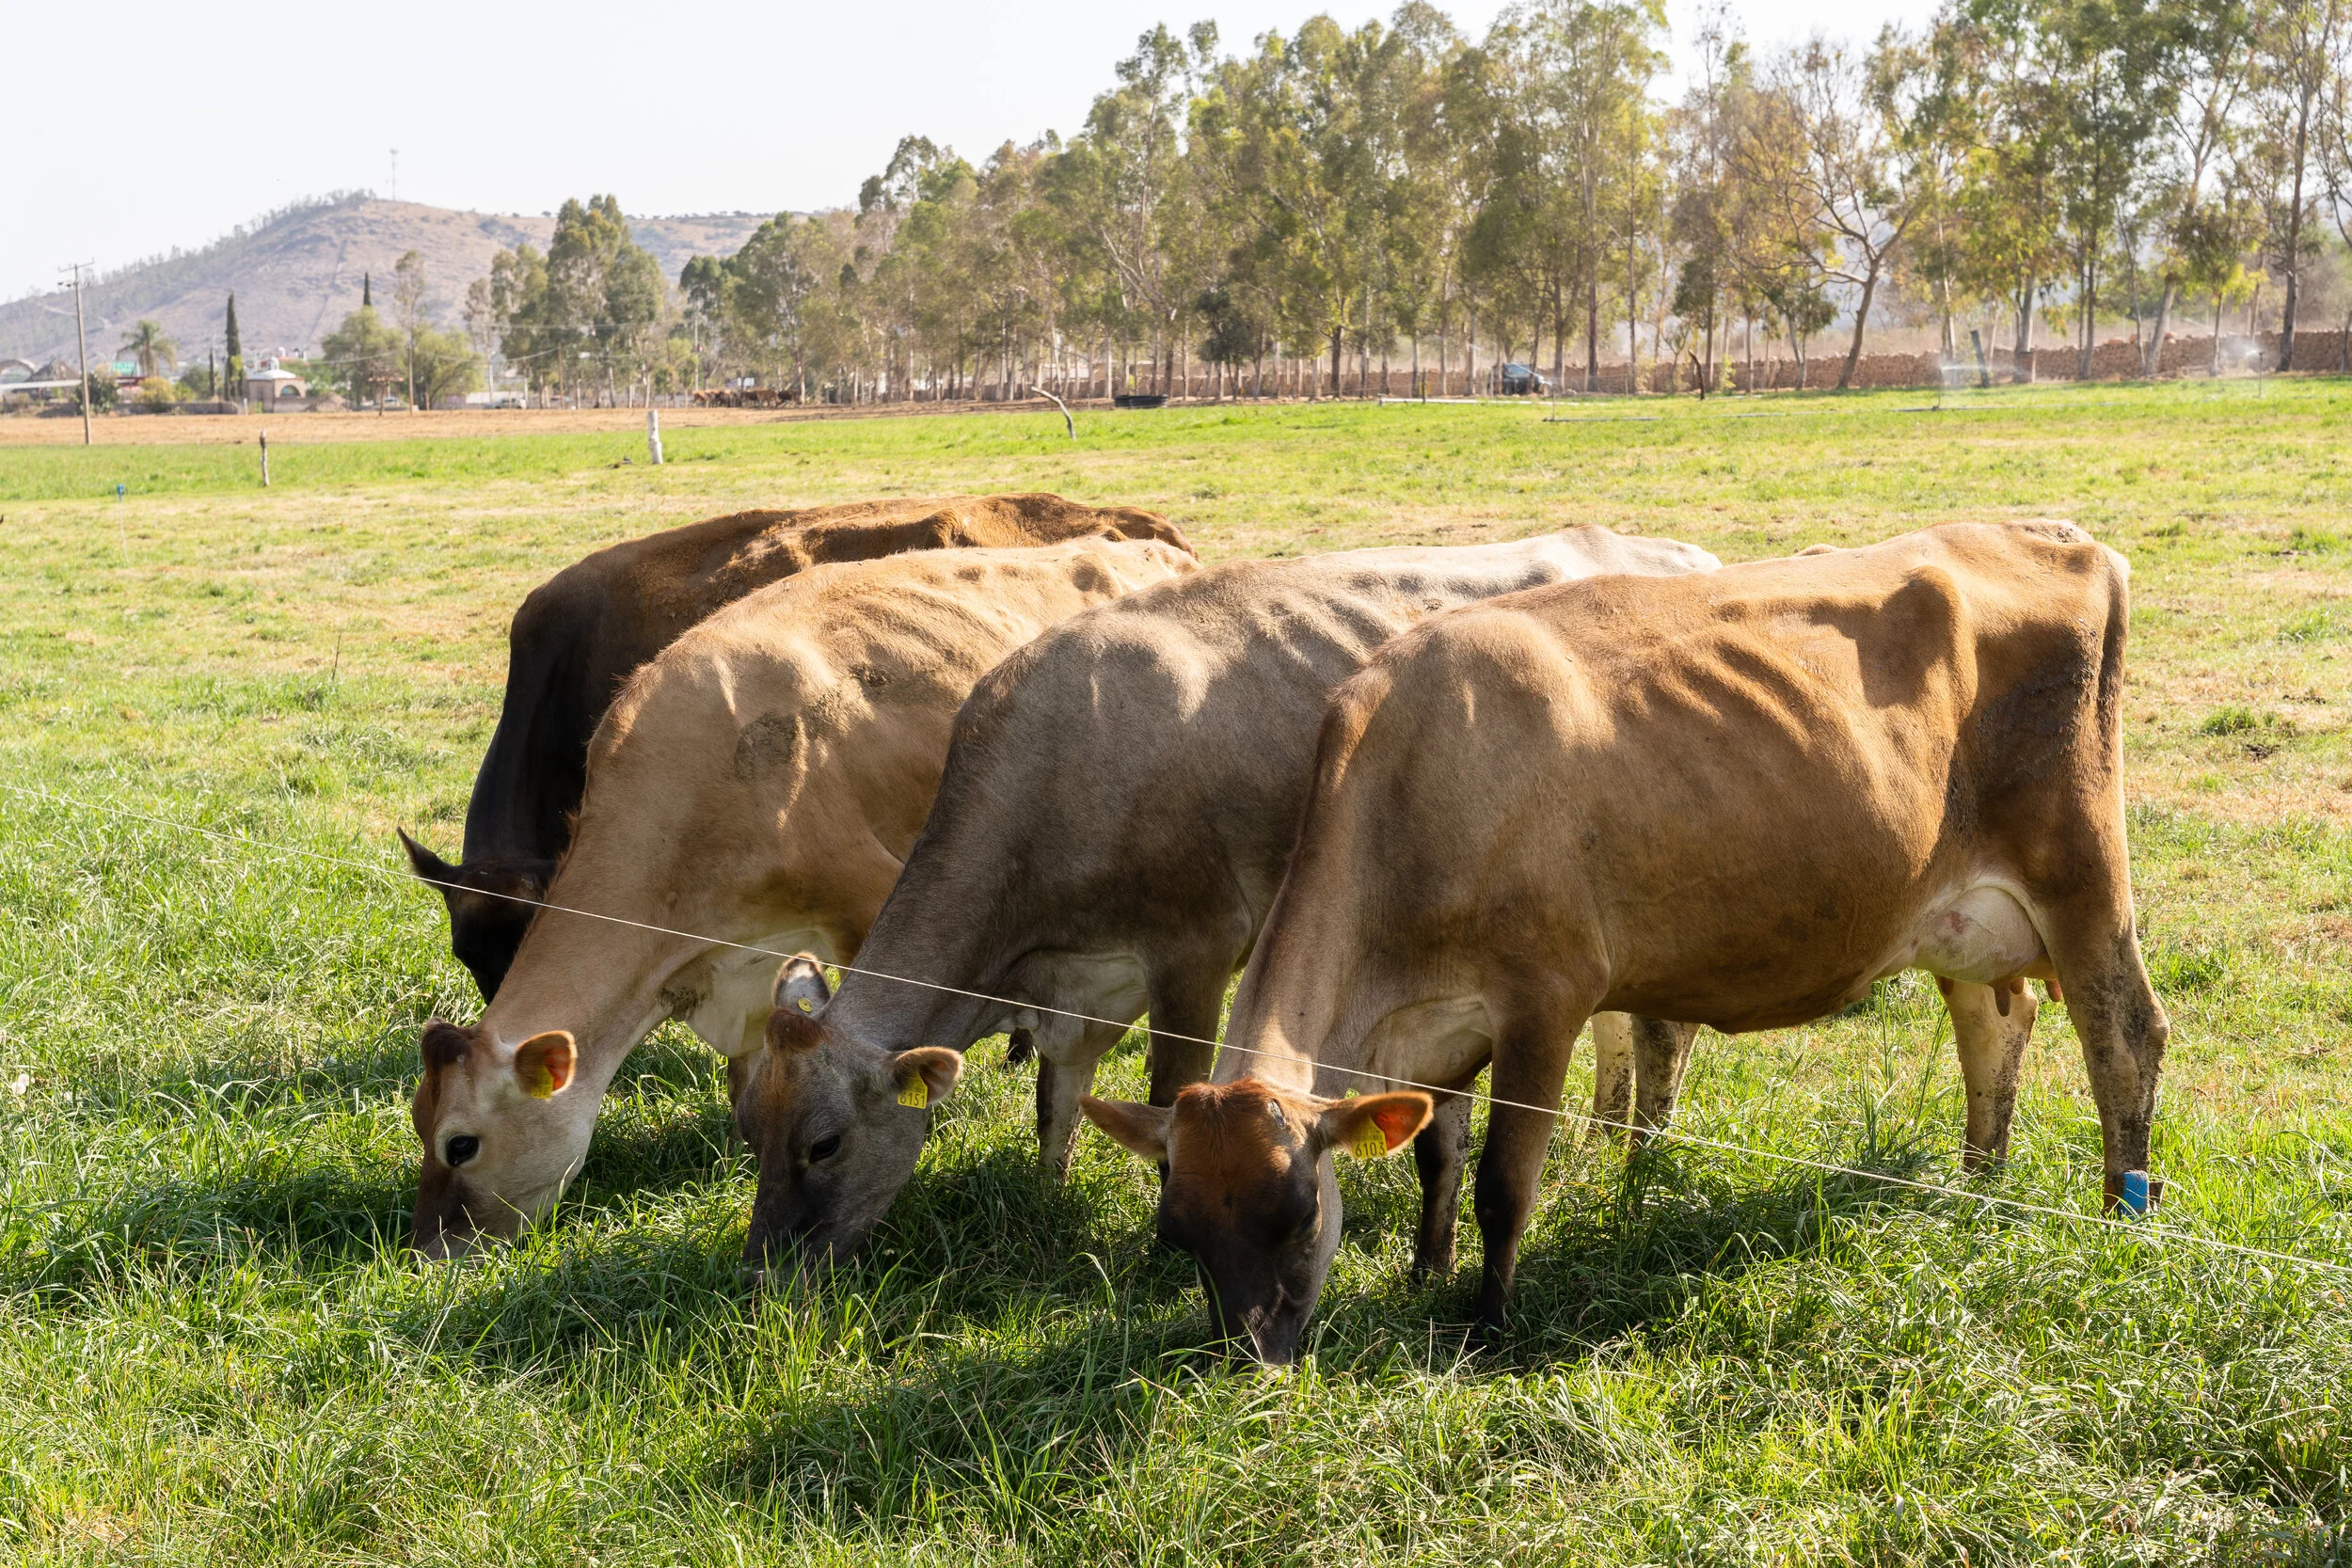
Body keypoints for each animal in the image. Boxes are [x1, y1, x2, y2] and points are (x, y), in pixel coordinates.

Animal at [728, 528, 1724, 1273]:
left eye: (824, 1143)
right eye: (748, 1131)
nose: (764, 1269)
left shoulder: (1194, 946)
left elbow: (1169, 1090)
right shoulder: (1080, 984)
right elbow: (1056, 1104)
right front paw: (1047, 1199)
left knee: (1661, 1028)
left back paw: (1639, 1162)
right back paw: (1601, 1142)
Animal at [1080, 520, 2166, 1363]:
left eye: (1297, 1213)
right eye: (1177, 1232)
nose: (1250, 1359)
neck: (1405, 782)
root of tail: (2055, 535)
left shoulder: (1544, 999)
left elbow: (1501, 1182)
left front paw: (1486, 1322)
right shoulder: (1439, 1025)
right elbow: (1436, 1151)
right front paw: (1426, 1267)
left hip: (2081, 871)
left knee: (2123, 1037)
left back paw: (2121, 1215)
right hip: (1957, 913)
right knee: (1994, 1023)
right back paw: (1979, 1177)